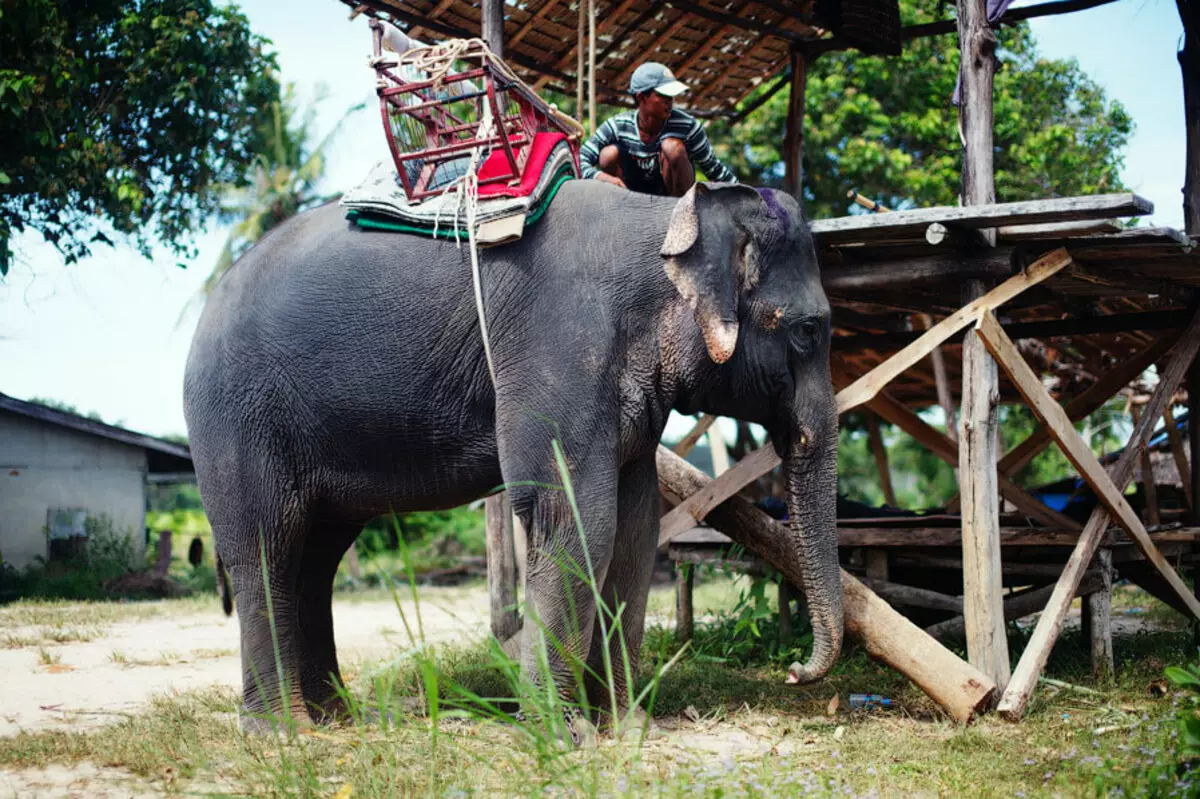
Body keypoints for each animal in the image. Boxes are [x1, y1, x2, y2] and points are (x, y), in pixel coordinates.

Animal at [184, 178, 844, 729]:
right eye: (809, 331)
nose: (794, 673)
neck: (664, 219)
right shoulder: (558, 343)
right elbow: (576, 514)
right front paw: (565, 734)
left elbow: (635, 526)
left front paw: (630, 727)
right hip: (236, 417)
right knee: (267, 545)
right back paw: (283, 730)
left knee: (316, 558)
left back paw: (335, 718)